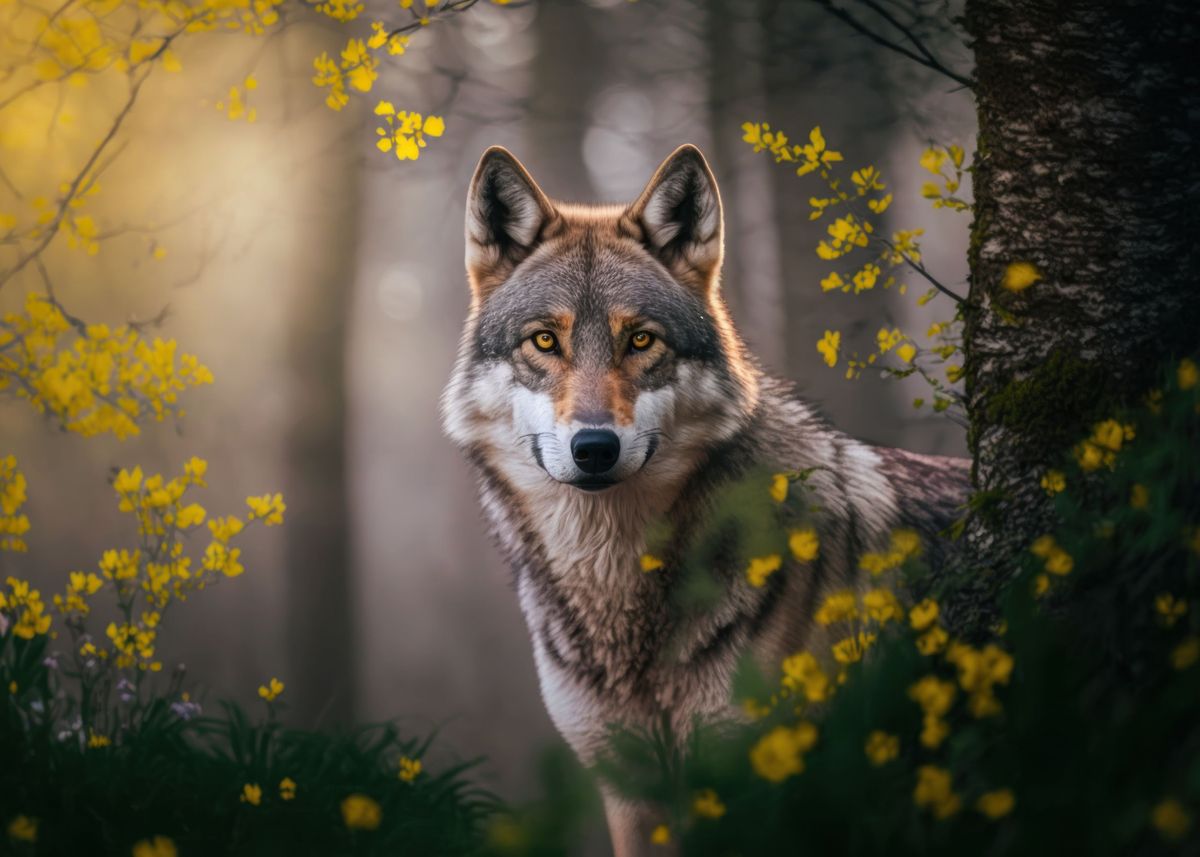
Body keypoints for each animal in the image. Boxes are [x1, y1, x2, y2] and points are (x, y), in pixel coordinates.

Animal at [441, 144, 969, 855]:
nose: (595, 447)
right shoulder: (631, 793)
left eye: (641, 340)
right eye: (544, 341)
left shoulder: (762, 787)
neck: (617, 594)